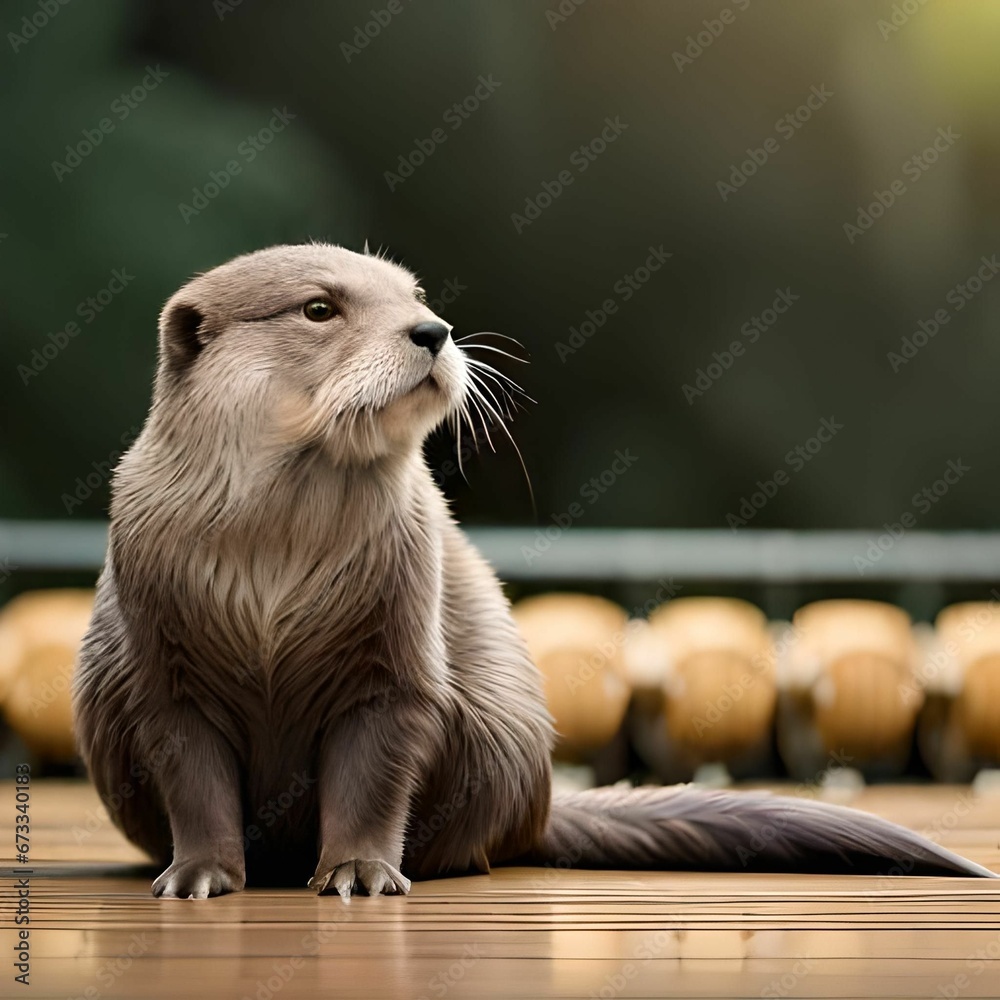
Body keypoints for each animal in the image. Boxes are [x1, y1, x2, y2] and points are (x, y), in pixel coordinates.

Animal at [72, 244, 994, 898]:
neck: (274, 568)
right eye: (320, 308)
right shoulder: (161, 659)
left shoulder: (395, 649)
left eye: (415, 296)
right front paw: (197, 877)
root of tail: (543, 804)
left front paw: (360, 874)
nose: (433, 331)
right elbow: (189, 772)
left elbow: (375, 769)